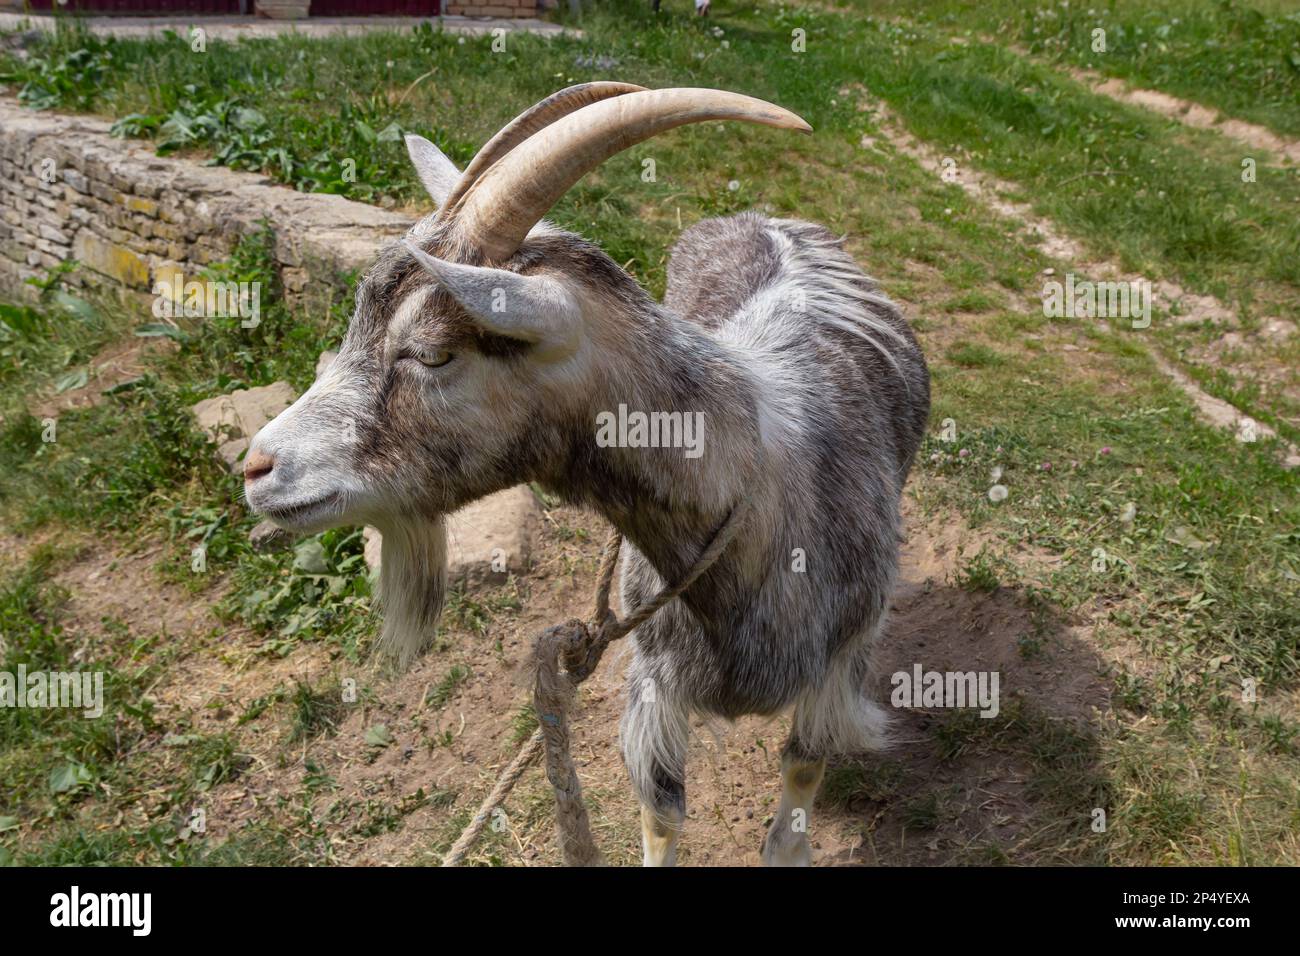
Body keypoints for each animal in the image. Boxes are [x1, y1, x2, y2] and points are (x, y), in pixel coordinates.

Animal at [244, 84, 930, 866]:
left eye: (432, 352)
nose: (258, 467)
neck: (763, 506)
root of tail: (768, 218)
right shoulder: (656, 682)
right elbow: (661, 815)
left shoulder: (838, 666)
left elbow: (793, 806)